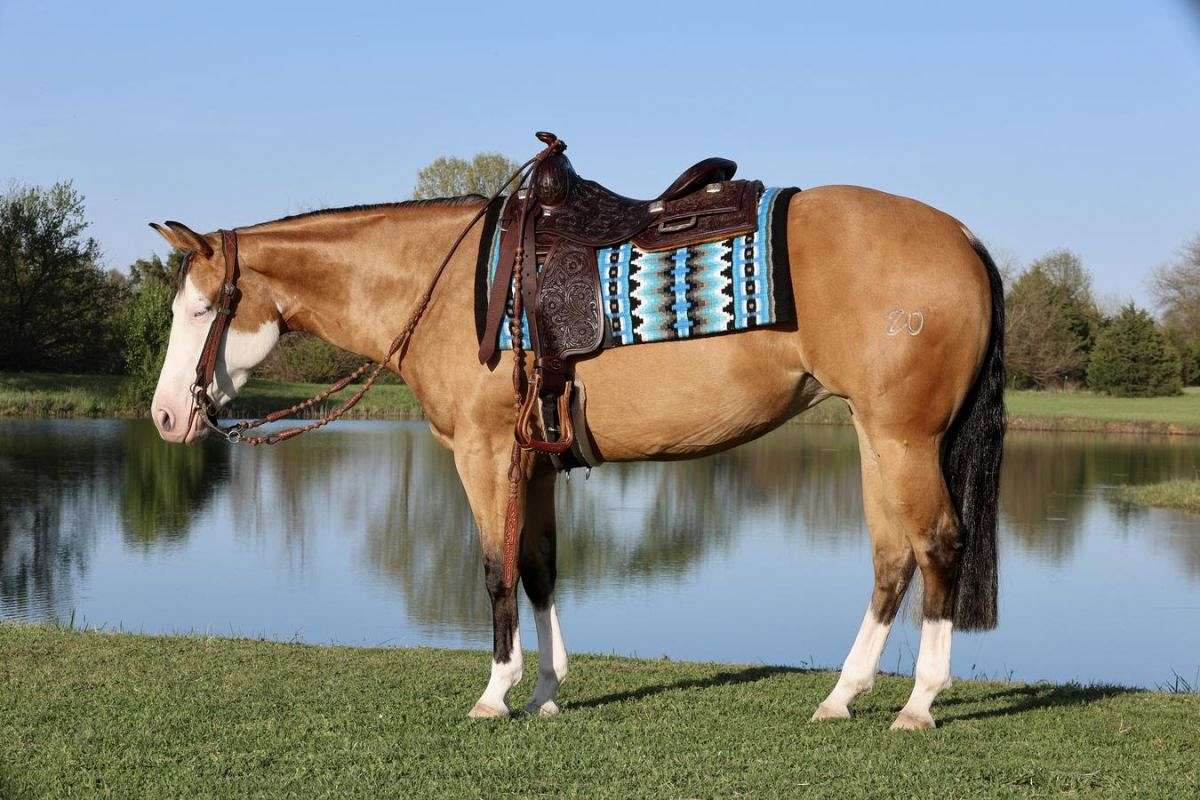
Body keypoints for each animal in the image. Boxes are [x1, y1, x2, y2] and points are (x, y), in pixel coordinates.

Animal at [148, 180, 1004, 731]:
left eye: (200, 308)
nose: (163, 417)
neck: (448, 285)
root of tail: (961, 237)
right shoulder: (533, 462)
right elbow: (540, 570)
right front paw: (547, 693)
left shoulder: (487, 453)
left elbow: (495, 569)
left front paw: (496, 694)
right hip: (875, 435)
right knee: (892, 557)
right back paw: (842, 697)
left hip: (904, 438)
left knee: (938, 545)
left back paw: (918, 704)